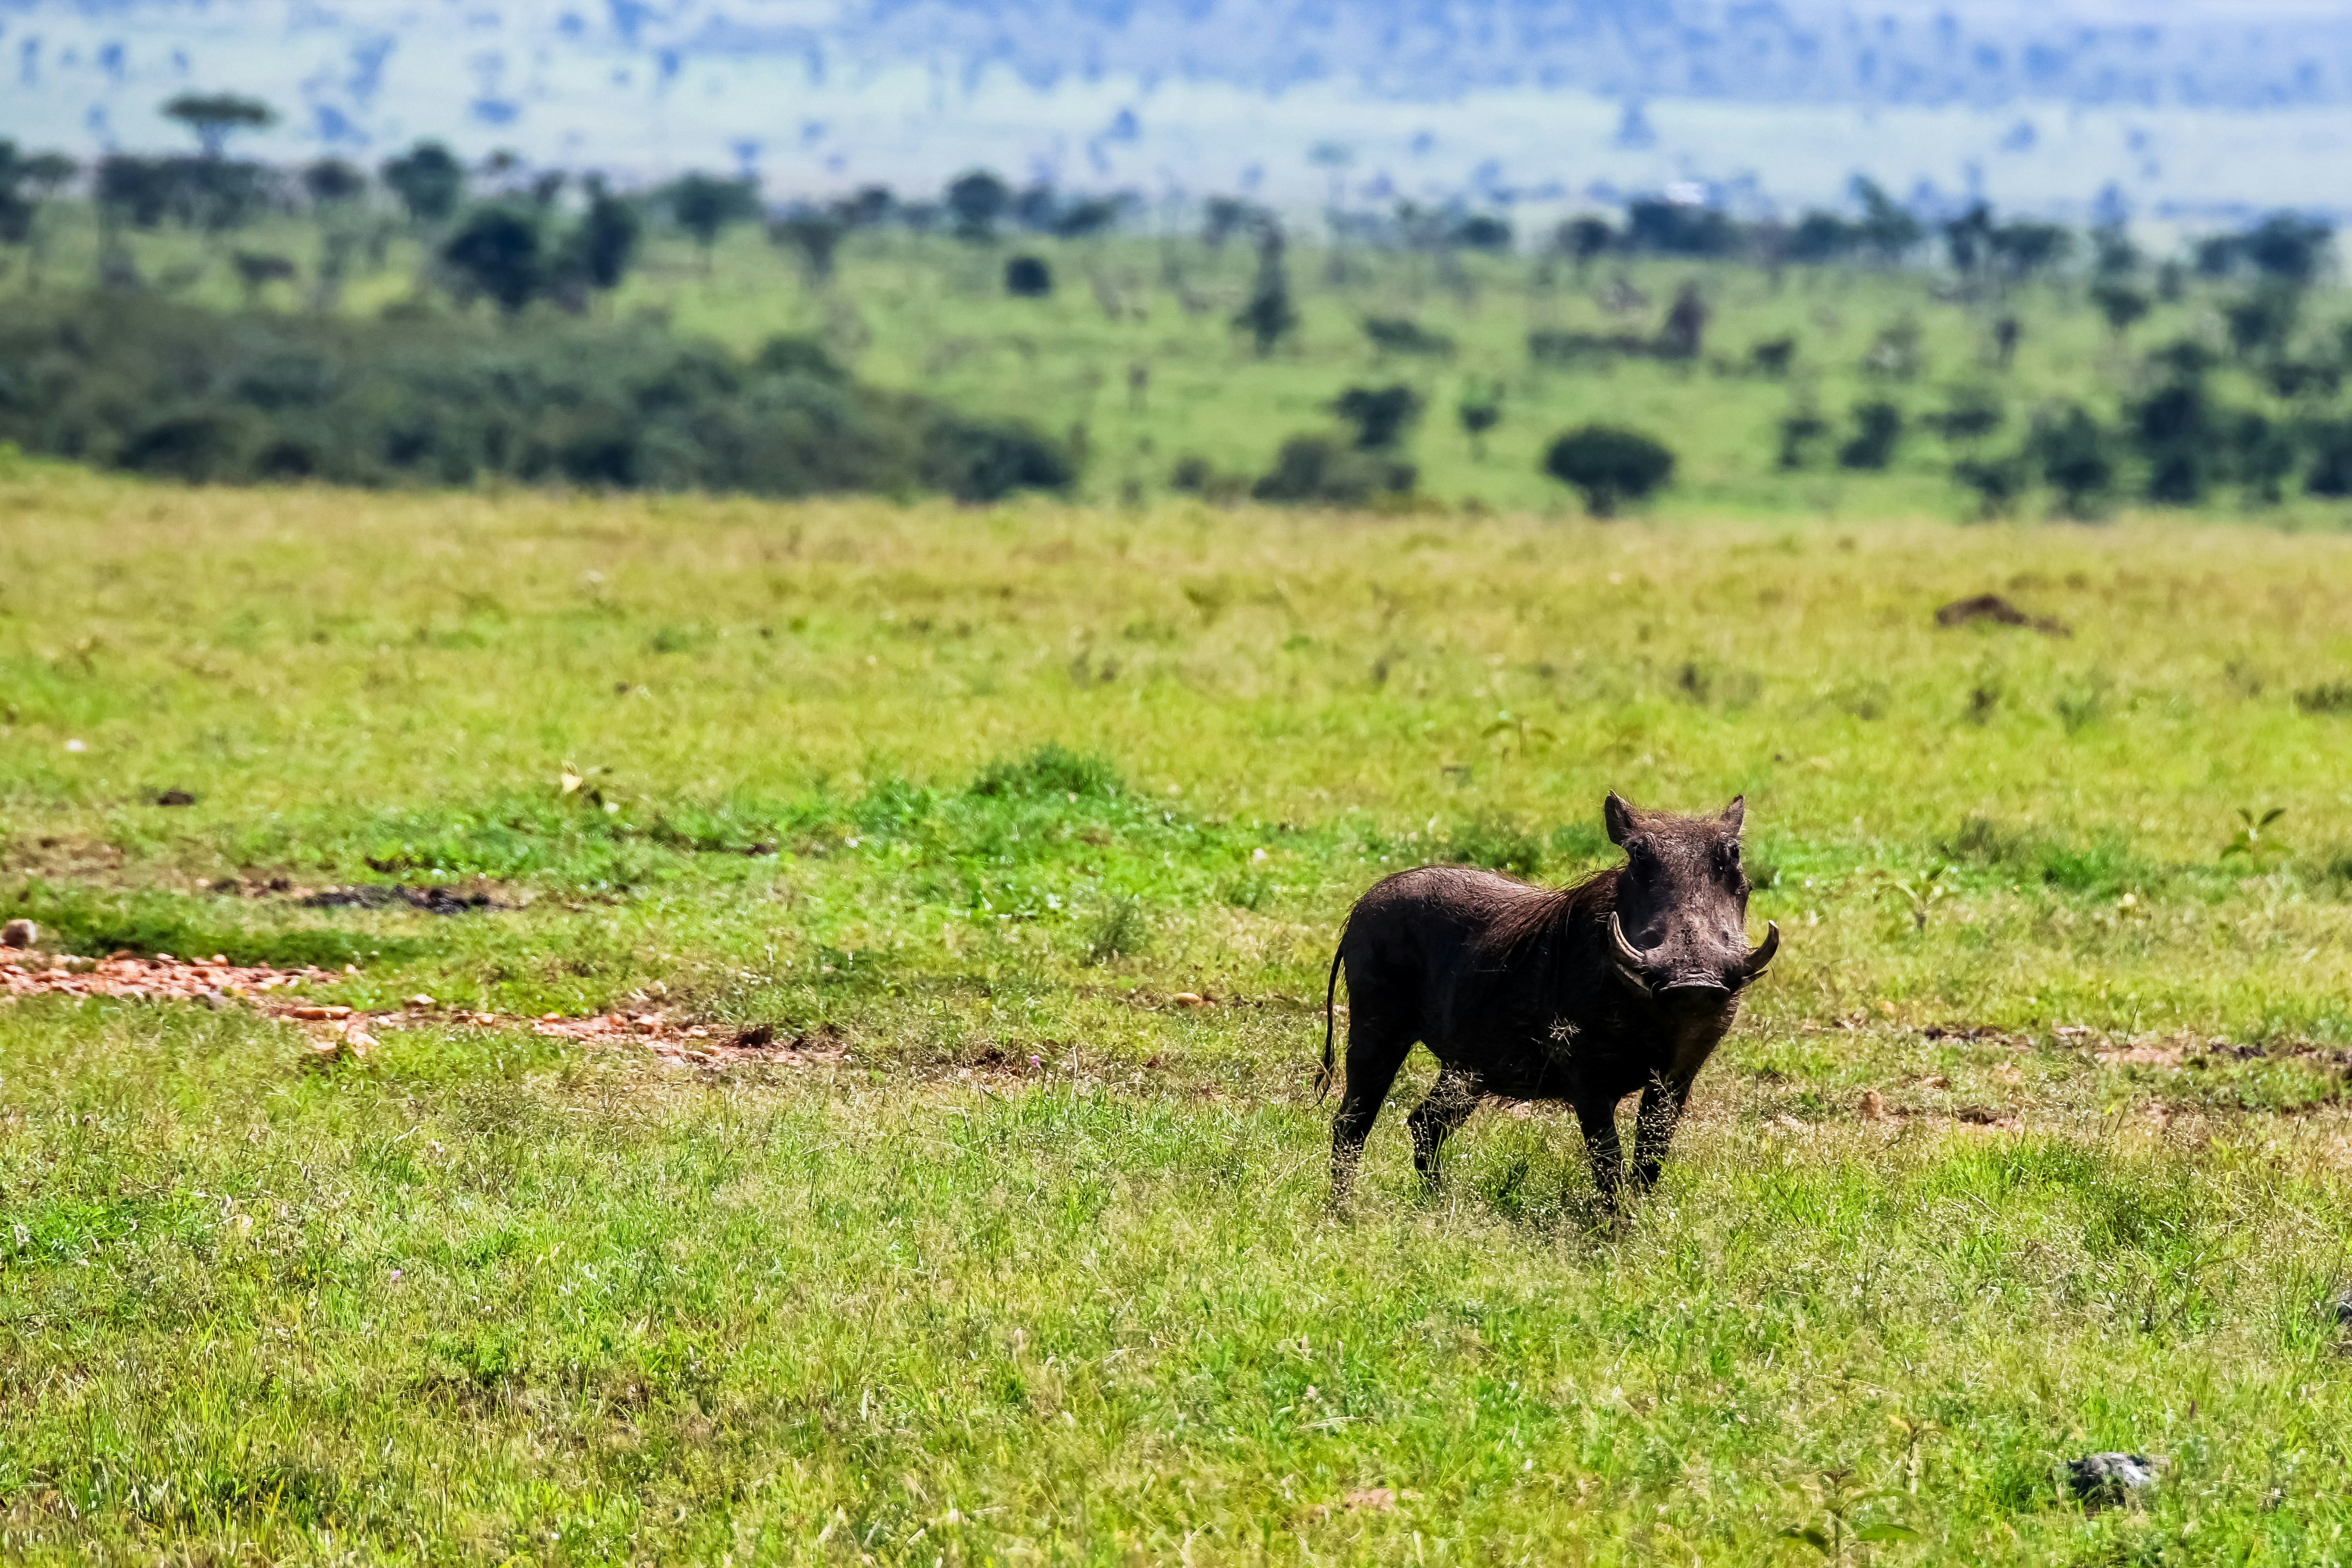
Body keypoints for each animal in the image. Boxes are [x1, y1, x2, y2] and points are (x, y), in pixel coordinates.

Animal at [1318, 793, 1778, 1204]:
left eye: (1733, 855)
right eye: (1637, 856)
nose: (1694, 982)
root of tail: (1365, 902)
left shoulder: (1677, 1077)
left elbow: (1650, 1160)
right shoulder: (1587, 1080)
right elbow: (1609, 1165)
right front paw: (1615, 1234)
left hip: (1465, 1070)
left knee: (1424, 1125)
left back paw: (1436, 1204)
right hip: (1376, 1028)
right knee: (1351, 1125)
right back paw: (1344, 1214)